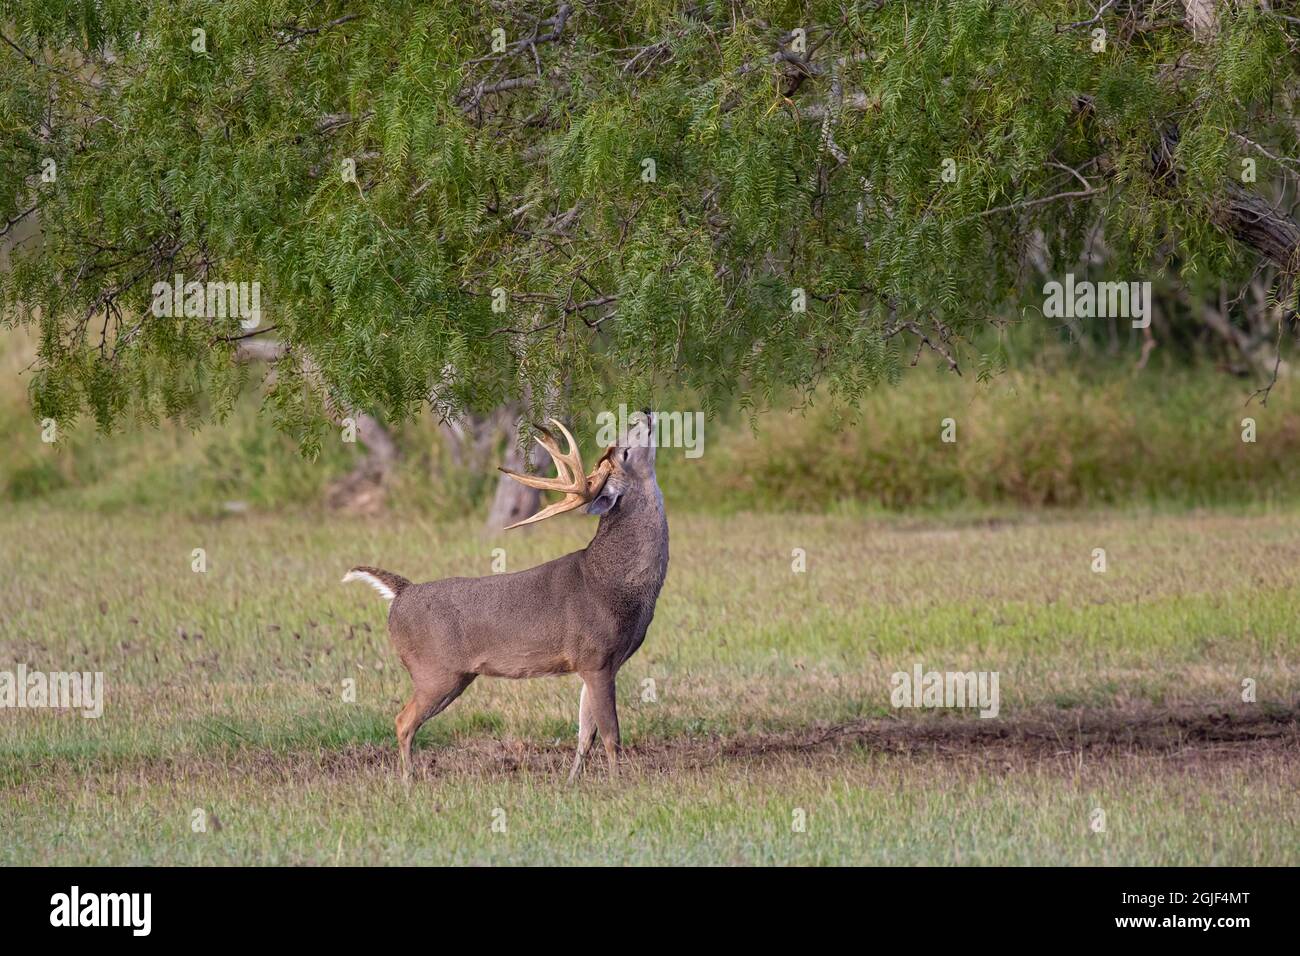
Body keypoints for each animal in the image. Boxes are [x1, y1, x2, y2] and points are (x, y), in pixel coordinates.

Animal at [343, 411, 668, 781]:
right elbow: (611, 734)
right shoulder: (596, 656)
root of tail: (402, 592)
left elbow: (586, 732)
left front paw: (572, 781)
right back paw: (409, 780)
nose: (646, 412)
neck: (614, 582)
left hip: (451, 674)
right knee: (403, 720)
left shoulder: (599, 665)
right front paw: (617, 783)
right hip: (434, 671)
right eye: (624, 451)